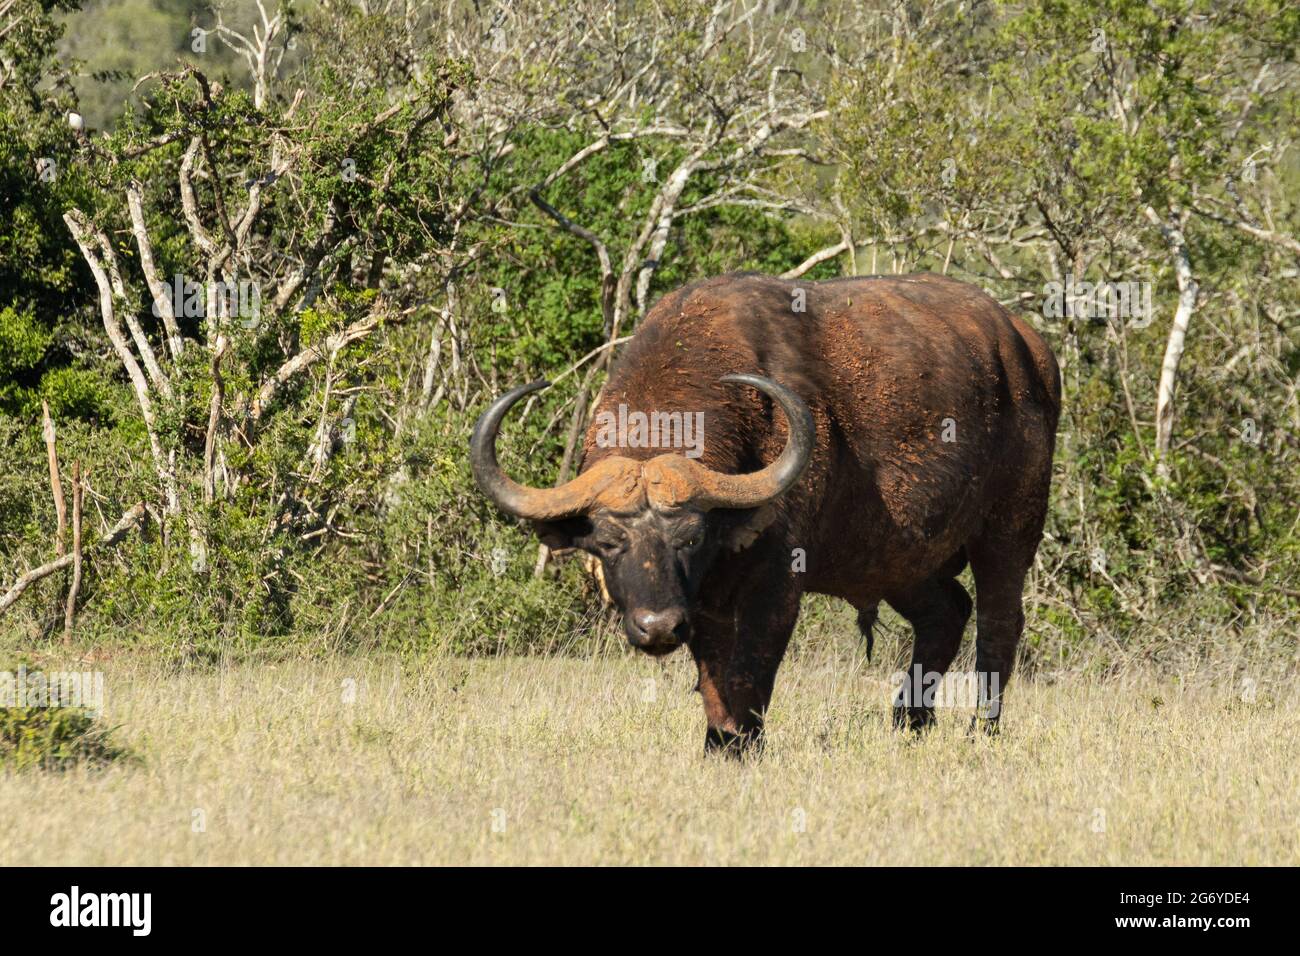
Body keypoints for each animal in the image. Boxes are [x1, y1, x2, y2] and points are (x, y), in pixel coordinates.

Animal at [471, 273, 1060, 753]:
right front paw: (718, 742)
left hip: (1011, 529)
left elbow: (750, 668)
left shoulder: (778, 582)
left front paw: (745, 745)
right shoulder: (703, 601)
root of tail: (1028, 348)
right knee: (946, 614)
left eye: (691, 537)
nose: (658, 626)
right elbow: (712, 672)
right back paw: (908, 723)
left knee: (998, 623)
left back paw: (981, 730)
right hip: (897, 558)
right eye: (609, 542)